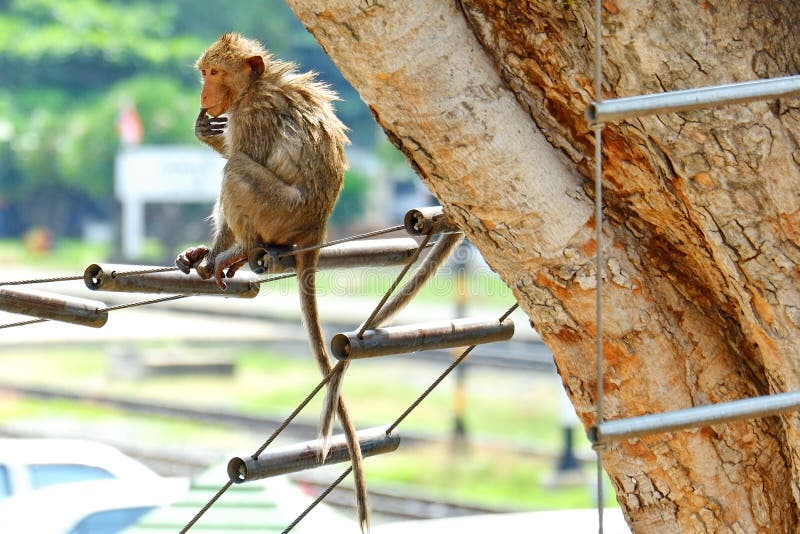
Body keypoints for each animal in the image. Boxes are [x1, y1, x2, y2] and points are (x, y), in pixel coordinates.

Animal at [173, 33, 371, 531]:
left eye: (215, 74)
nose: (205, 94)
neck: (254, 86)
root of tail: (317, 227)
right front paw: (206, 128)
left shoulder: (253, 114)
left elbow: (241, 154)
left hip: (279, 210)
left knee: (237, 171)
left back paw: (235, 251)